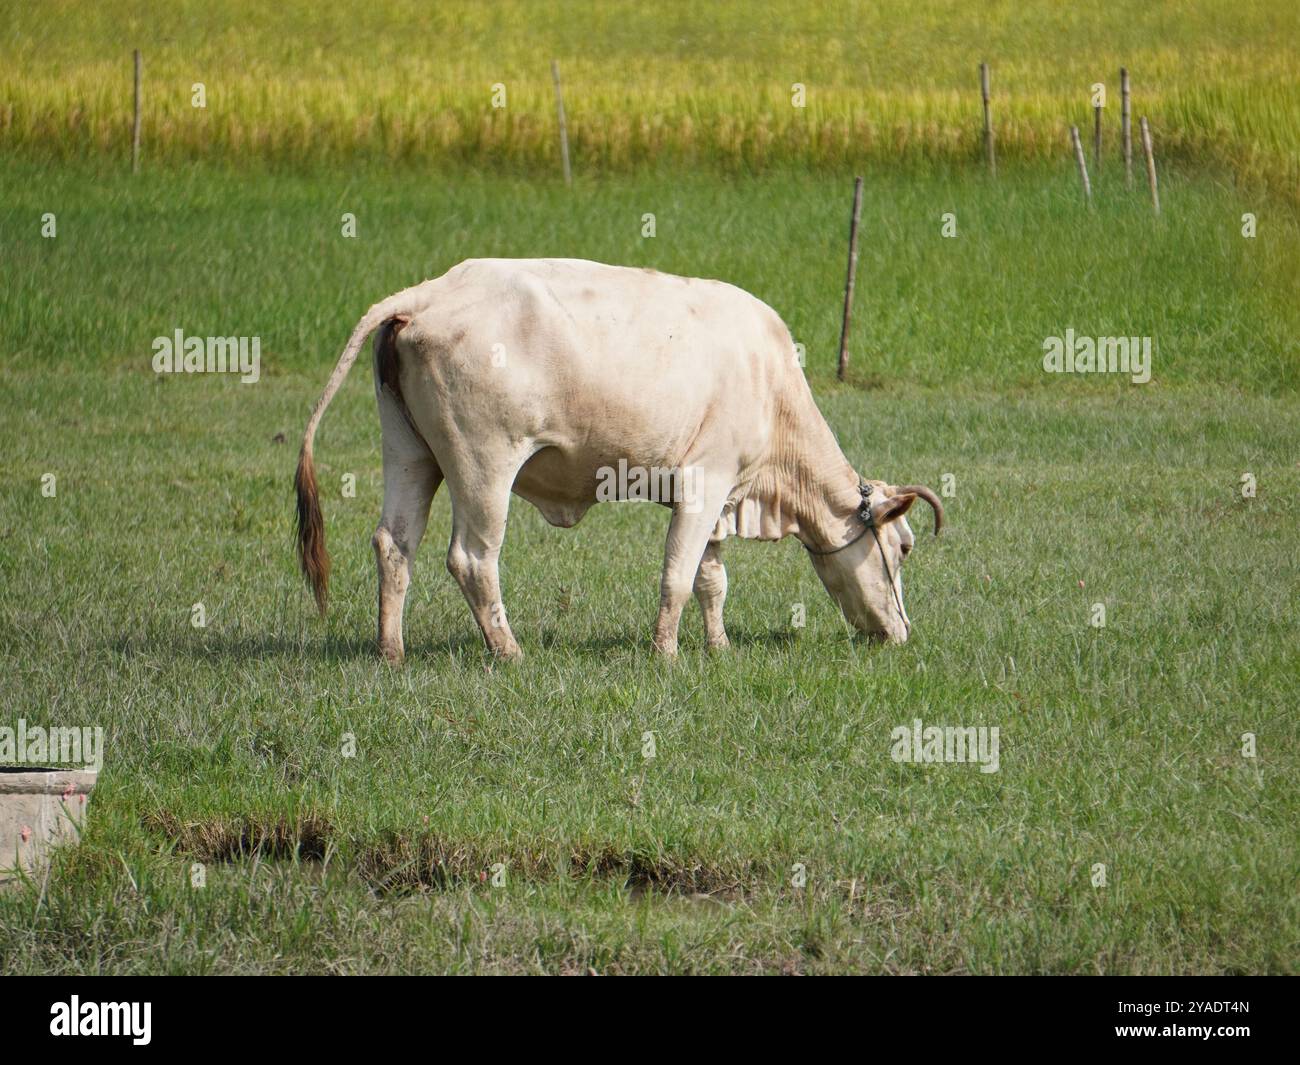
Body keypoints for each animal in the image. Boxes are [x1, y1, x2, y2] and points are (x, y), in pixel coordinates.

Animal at [294, 258, 942, 661]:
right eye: (903, 547)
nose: (904, 633)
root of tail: (430, 291)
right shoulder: (703, 483)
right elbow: (678, 575)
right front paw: (667, 653)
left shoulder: (720, 499)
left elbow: (711, 579)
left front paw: (718, 647)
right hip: (484, 466)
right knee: (473, 559)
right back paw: (509, 652)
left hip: (410, 453)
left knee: (393, 544)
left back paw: (392, 652)